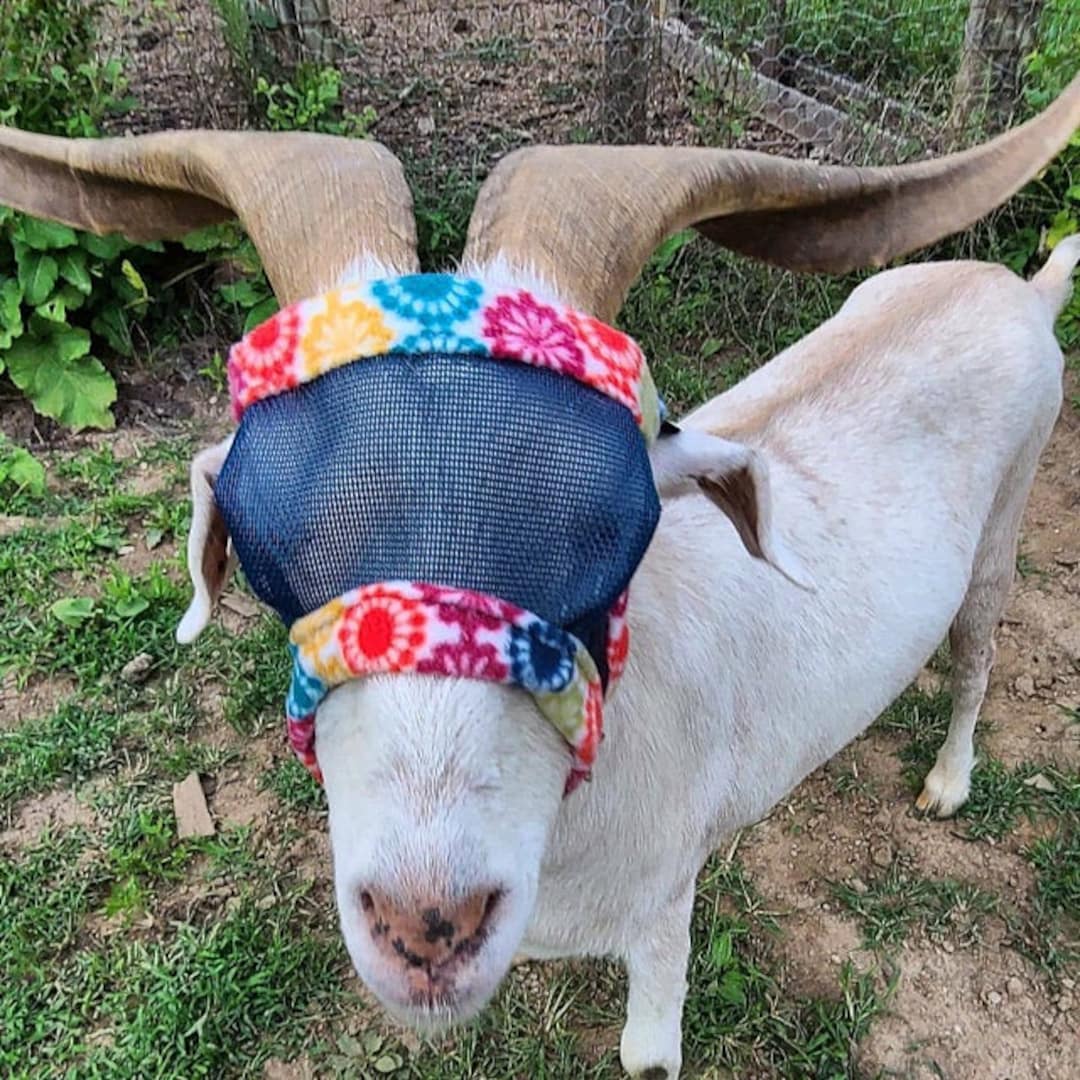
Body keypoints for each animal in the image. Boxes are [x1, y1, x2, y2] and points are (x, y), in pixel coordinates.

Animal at [1, 73, 1078, 1079]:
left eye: (611, 525)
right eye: (272, 539)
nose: (427, 923)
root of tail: (1021, 291)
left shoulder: (664, 906)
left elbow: (648, 1053)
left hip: (1010, 510)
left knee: (977, 651)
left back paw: (947, 783)